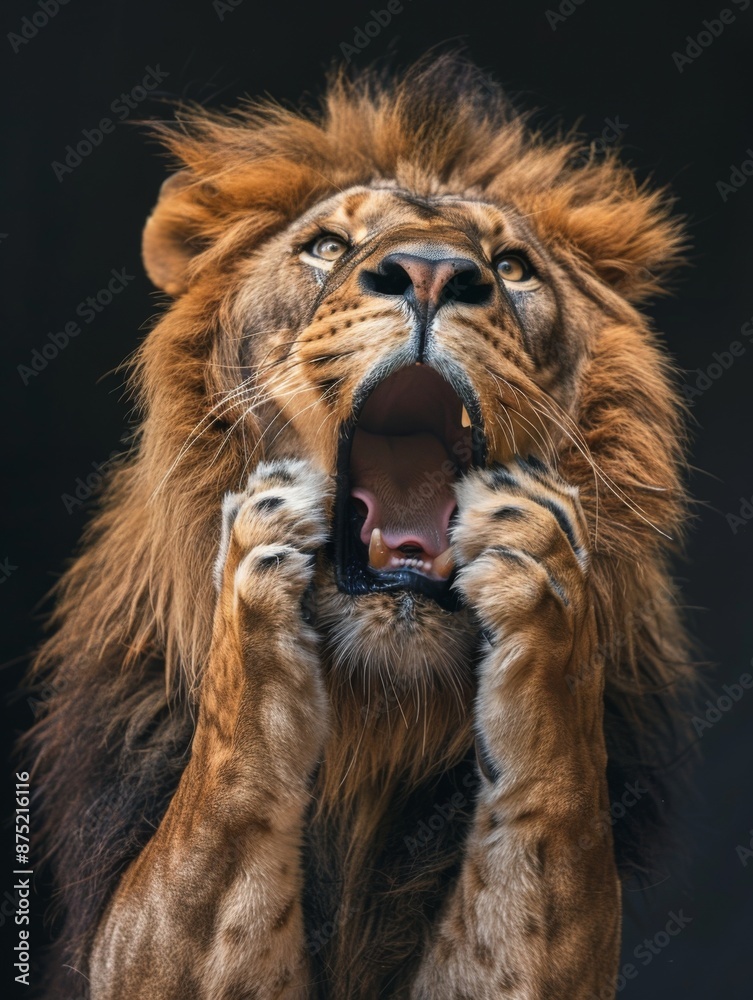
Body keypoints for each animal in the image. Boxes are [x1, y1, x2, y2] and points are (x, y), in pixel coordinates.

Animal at [28, 56, 695, 999]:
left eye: (511, 265)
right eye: (328, 247)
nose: (430, 272)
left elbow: (553, 787)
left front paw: (543, 577)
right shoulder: (141, 941)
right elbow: (230, 770)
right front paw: (258, 564)